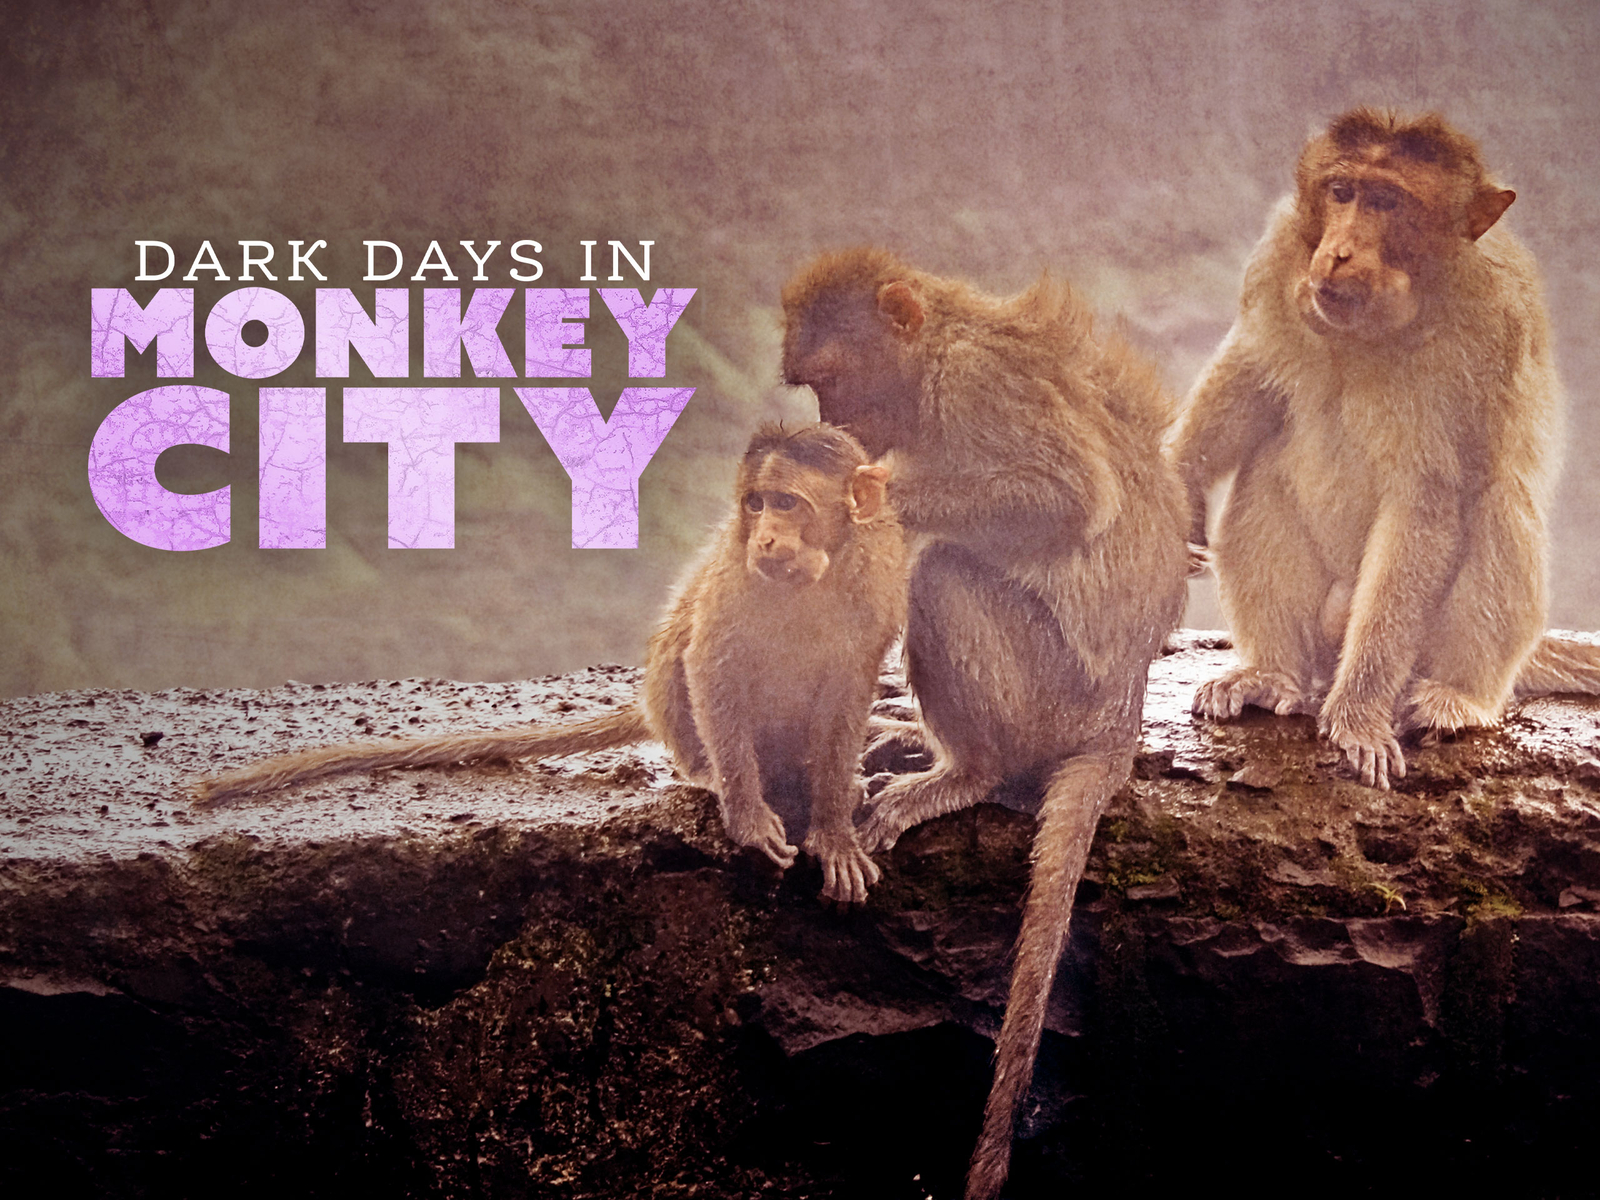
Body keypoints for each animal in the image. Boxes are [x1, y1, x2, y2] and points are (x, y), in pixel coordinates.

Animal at [196, 422, 907, 904]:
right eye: (757, 503)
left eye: (787, 504)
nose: (765, 536)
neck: (818, 572)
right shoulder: (737, 572)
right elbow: (712, 663)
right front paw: (746, 812)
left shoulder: (878, 579)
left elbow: (851, 686)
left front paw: (834, 826)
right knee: (683, 653)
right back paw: (712, 774)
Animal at [782, 249, 1189, 1200]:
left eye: (832, 381)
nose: (835, 426)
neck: (935, 346)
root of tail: (1119, 721)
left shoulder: (977, 384)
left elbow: (1065, 496)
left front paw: (874, 494)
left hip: (1047, 695)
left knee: (941, 567)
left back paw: (968, 773)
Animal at [1168, 107, 1600, 791]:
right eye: (1342, 192)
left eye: (1387, 202)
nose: (1339, 251)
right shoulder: (1281, 255)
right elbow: (1254, 372)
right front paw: (1179, 487)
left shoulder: (1488, 329)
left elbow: (1426, 503)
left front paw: (1358, 715)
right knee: (1267, 468)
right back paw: (1273, 674)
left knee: (1501, 504)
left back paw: (1458, 695)